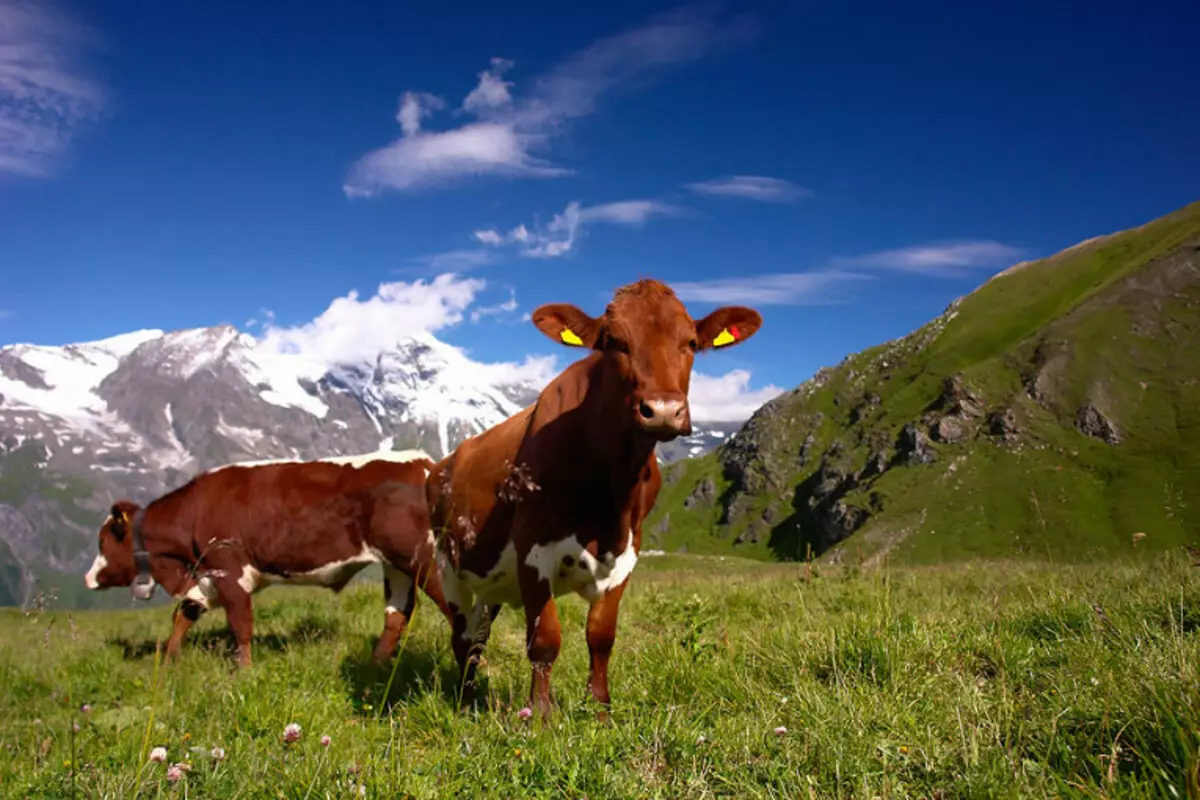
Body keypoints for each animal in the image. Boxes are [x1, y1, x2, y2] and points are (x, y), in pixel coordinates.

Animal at [81, 450, 453, 671]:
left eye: (102, 541)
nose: (87, 578)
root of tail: (422, 464)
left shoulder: (230, 571)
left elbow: (240, 624)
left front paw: (243, 672)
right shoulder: (209, 573)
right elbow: (185, 612)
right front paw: (171, 661)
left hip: (425, 559)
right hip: (396, 565)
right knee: (396, 616)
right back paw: (374, 666)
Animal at [427, 280, 753, 719]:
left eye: (690, 343)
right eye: (614, 342)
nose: (662, 411)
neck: (609, 487)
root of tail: (444, 464)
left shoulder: (628, 550)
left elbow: (601, 636)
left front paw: (600, 709)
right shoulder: (532, 547)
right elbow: (544, 638)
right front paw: (540, 716)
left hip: (492, 581)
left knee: (477, 637)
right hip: (450, 567)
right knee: (462, 638)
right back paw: (465, 702)